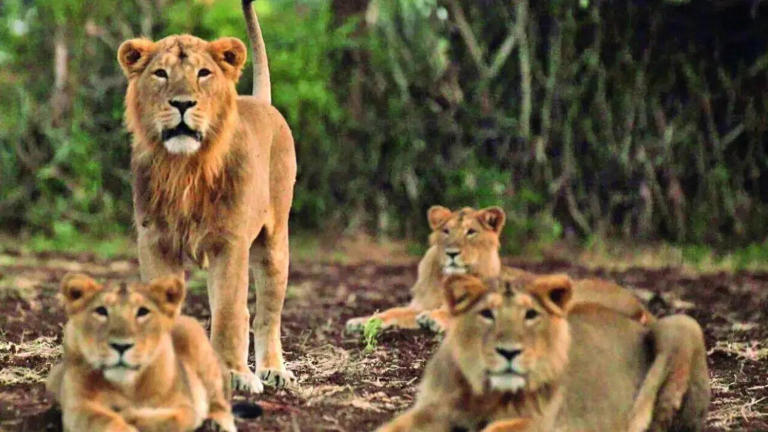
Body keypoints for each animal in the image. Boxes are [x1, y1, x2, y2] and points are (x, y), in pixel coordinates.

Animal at [46, 273, 252, 432]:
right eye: (101, 311)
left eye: (143, 311)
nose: (121, 346)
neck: (126, 386)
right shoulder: (77, 406)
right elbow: (102, 420)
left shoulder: (186, 406)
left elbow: (171, 419)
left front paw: (131, 415)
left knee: (220, 403)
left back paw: (219, 424)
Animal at [116, 0, 296, 392]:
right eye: (161, 74)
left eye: (203, 73)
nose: (182, 103)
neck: (185, 168)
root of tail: (261, 101)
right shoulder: (155, 242)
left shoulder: (229, 243)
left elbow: (228, 311)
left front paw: (233, 375)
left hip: (274, 243)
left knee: (266, 314)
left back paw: (272, 370)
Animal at [346, 205, 651, 335]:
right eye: (446, 231)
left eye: (470, 232)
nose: (452, 252)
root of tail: (640, 304)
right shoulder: (419, 303)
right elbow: (392, 312)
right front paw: (361, 322)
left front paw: (433, 320)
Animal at [377, 274, 709, 432]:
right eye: (487, 314)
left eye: (531, 316)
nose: (509, 351)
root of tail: (642, 310)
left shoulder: (538, 422)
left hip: (682, 325)